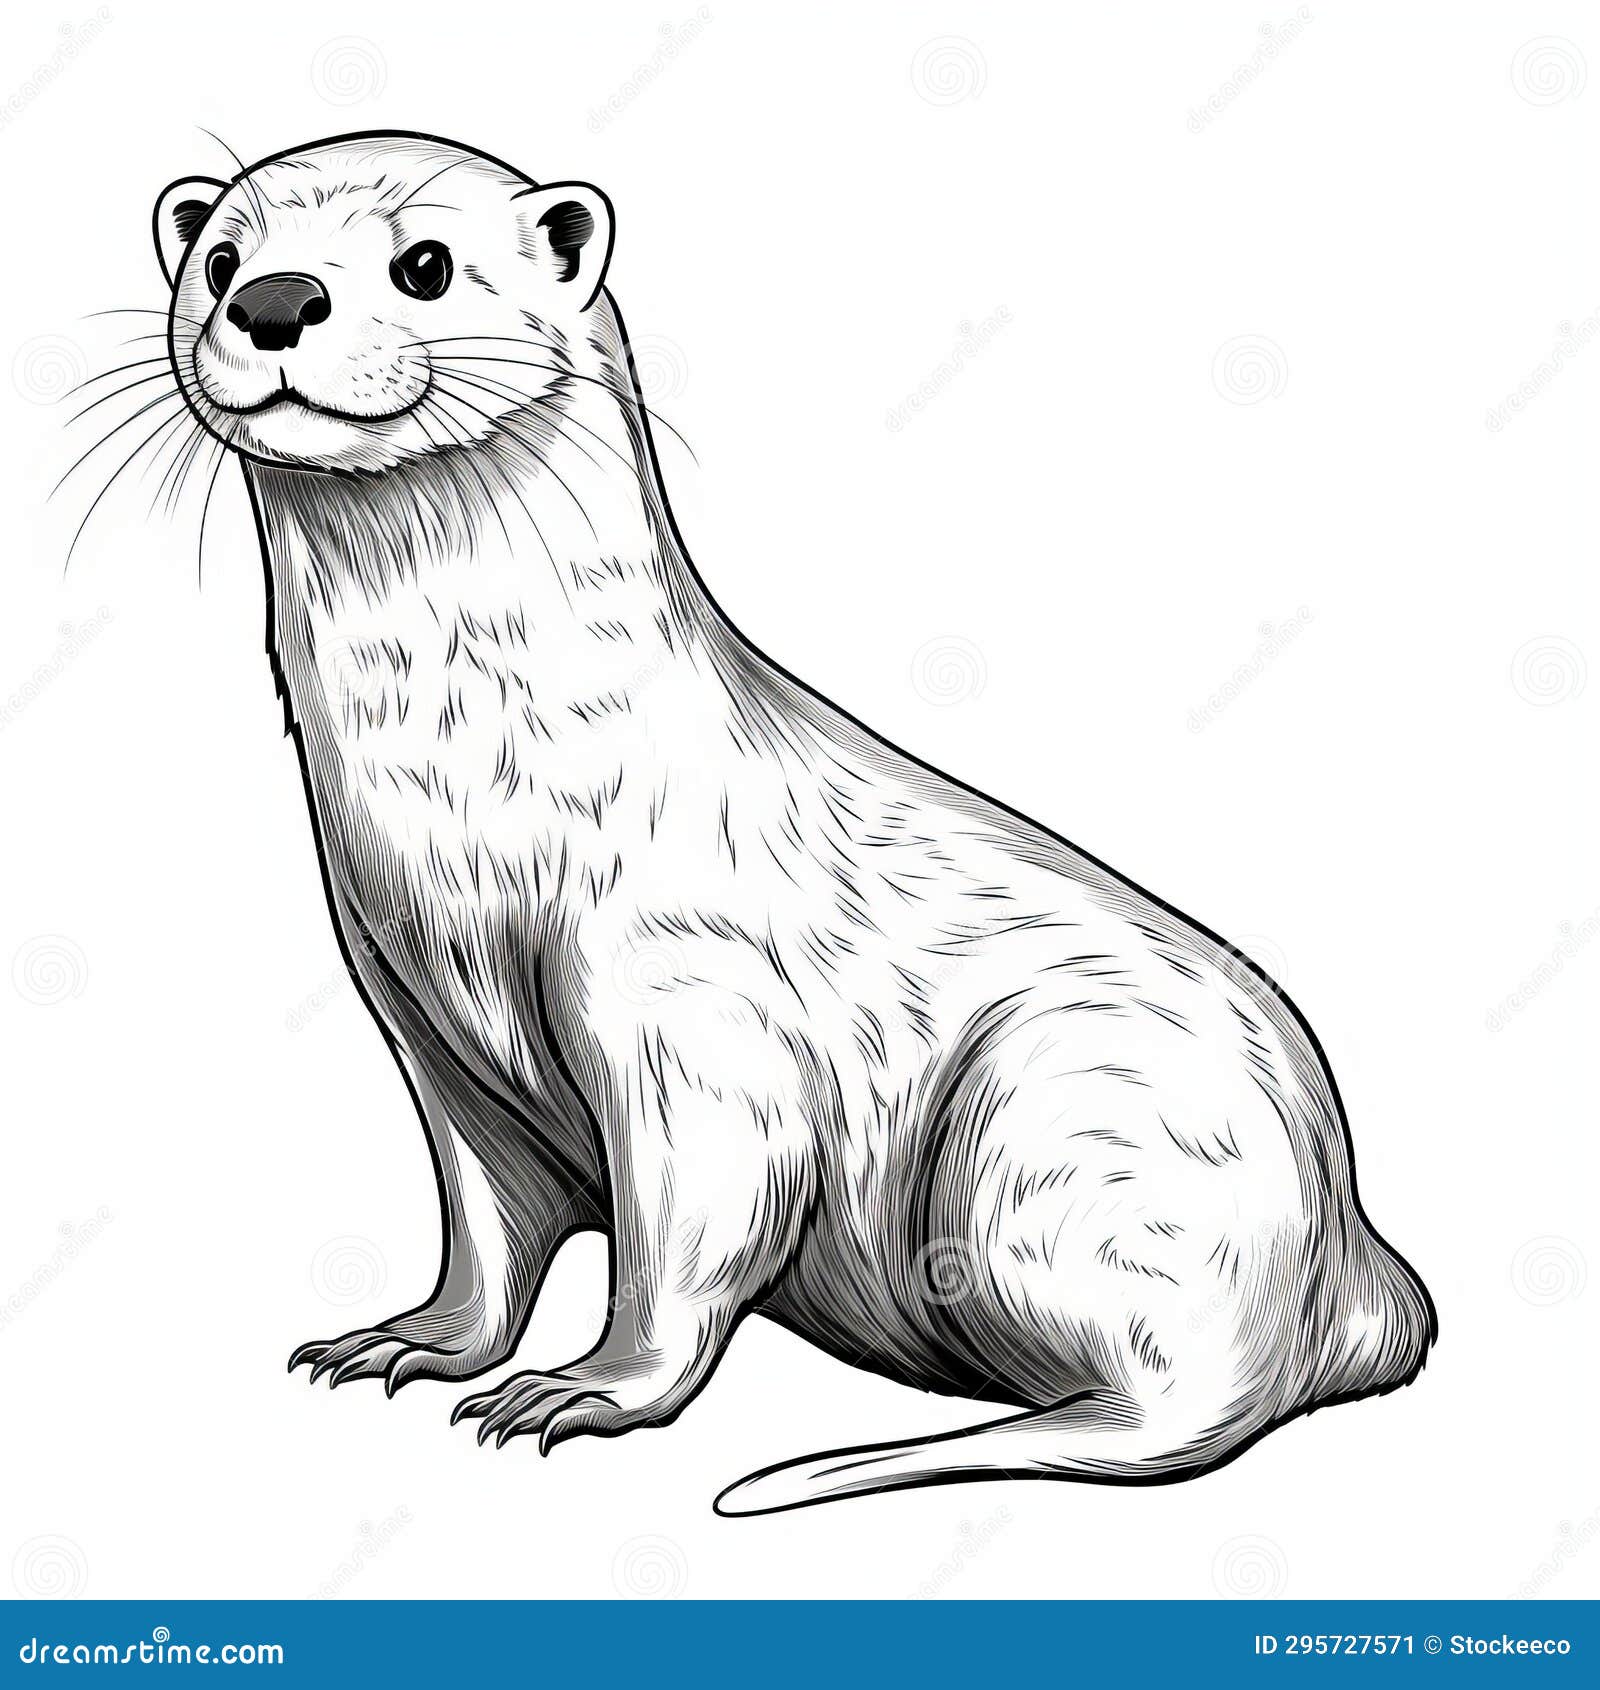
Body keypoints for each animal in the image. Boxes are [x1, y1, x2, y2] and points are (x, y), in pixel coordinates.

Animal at [148, 131, 1434, 1514]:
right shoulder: (423, 1017)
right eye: (218, 254)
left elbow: (689, 1234)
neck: (499, 810)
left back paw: (848, 1460)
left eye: (423, 264)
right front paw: (413, 1341)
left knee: (1186, 1408)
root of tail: (1352, 1256)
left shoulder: (694, 1012)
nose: (275, 300)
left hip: (1066, 1121)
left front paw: (586, 1390)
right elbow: (489, 1229)